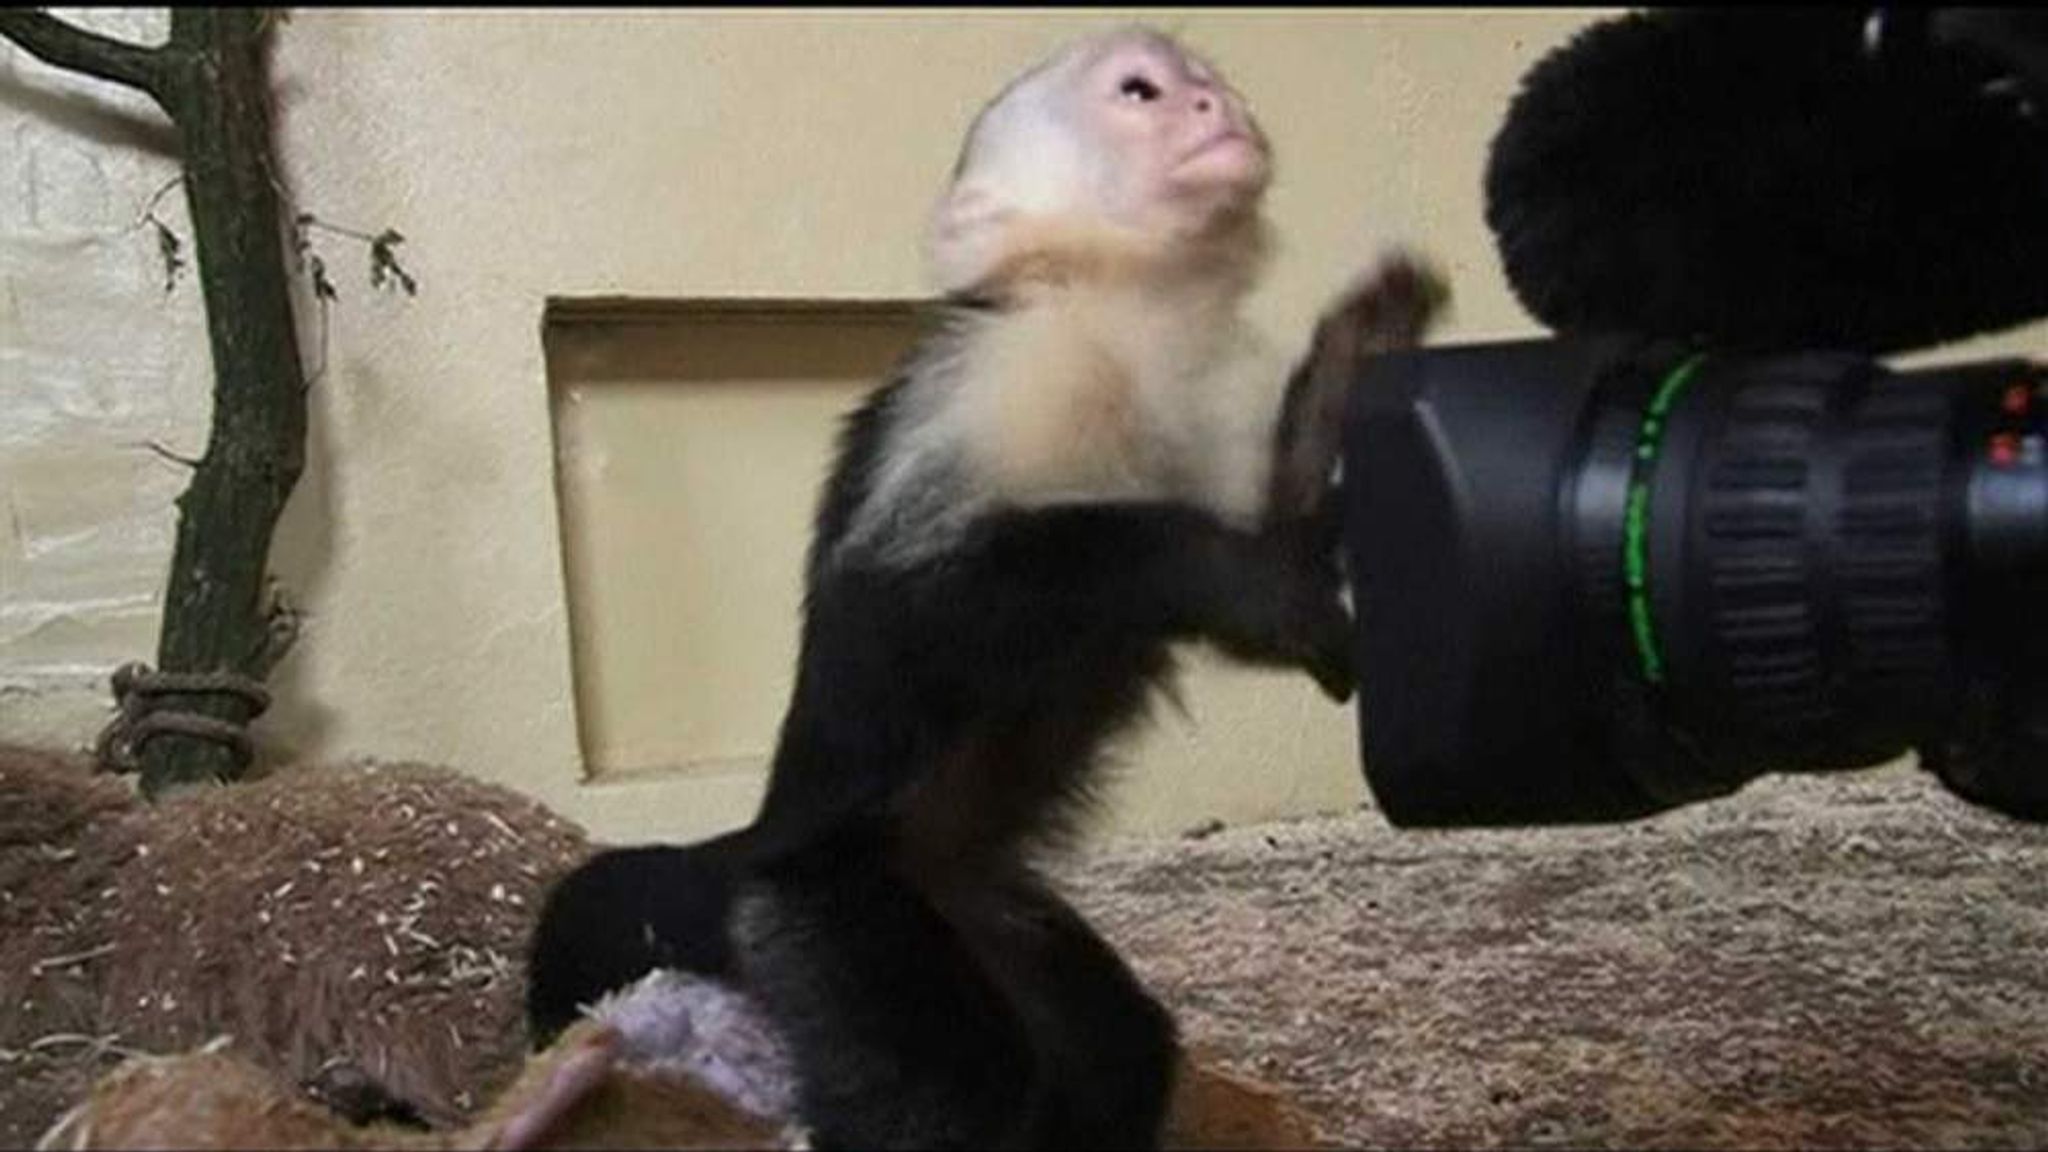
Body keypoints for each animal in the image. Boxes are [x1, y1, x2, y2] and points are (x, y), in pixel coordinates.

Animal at [526, 24, 1447, 1151]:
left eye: (1207, 83)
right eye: (1139, 92)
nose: (1214, 109)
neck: (1131, 317)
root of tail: (754, 842)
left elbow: (1282, 550)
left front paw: (1360, 352)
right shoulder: (1000, 378)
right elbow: (917, 616)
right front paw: (1227, 568)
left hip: (989, 907)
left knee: (1110, 1046)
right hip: (831, 917)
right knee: (945, 1087)